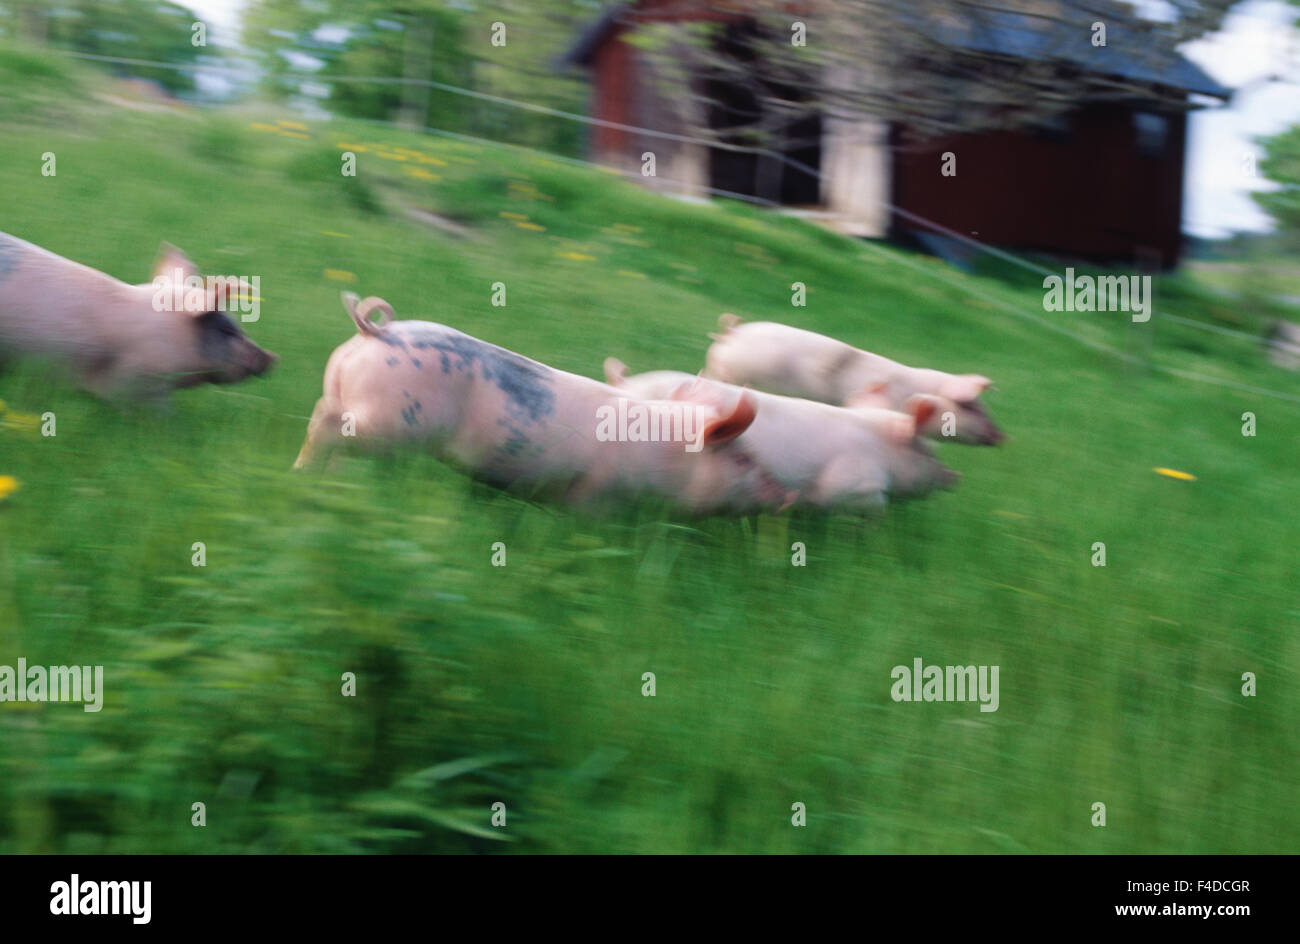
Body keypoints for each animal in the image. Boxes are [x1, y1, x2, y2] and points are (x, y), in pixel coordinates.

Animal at [293, 293, 792, 516]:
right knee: (325, 425)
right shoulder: (596, 492)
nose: (787, 494)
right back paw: (302, 476)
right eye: (744, 458)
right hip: (387, 422)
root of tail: (375, 333)